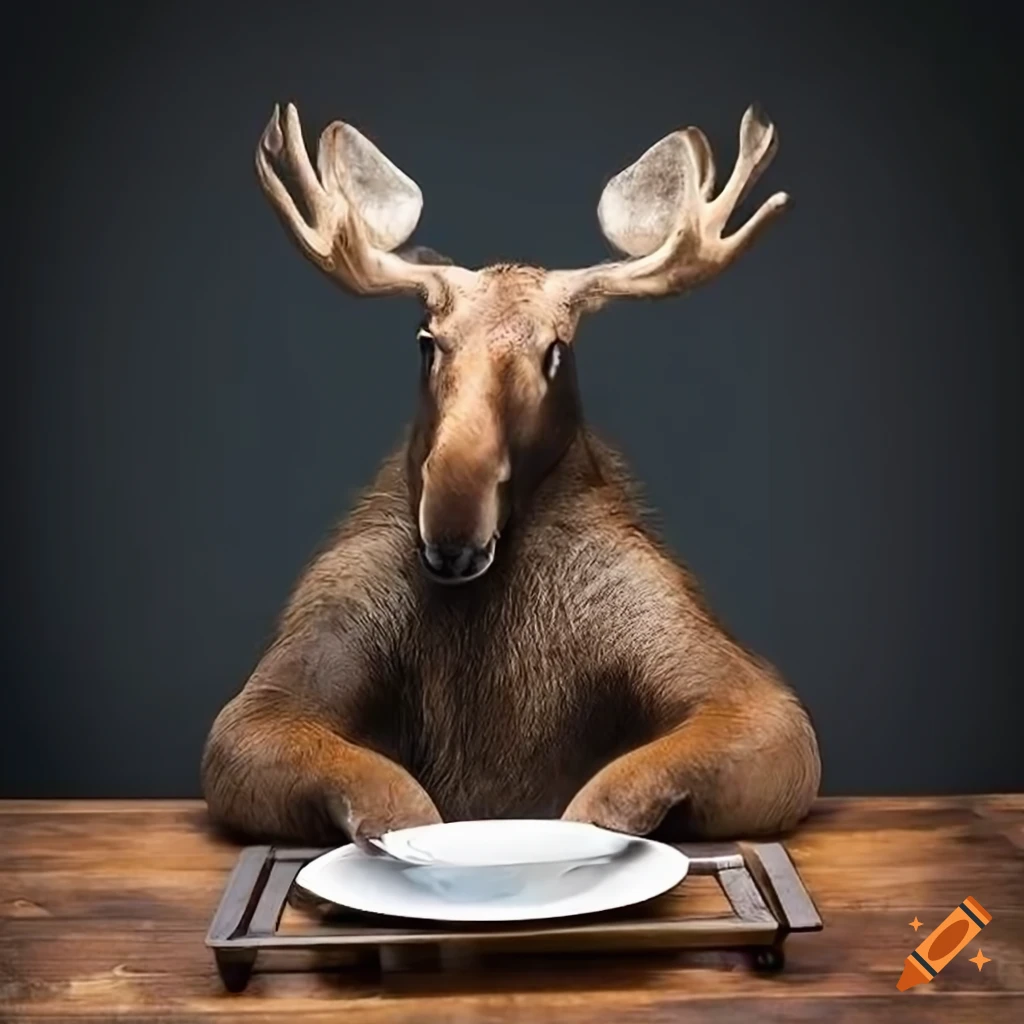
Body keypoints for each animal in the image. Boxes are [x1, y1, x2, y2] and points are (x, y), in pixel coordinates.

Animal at [201, 101, 821, 850]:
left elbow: (610, 795)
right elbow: (391, 794)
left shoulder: (744, 693)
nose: (453, 533)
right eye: (427, 343)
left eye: (555, 351)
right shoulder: (279, 688)